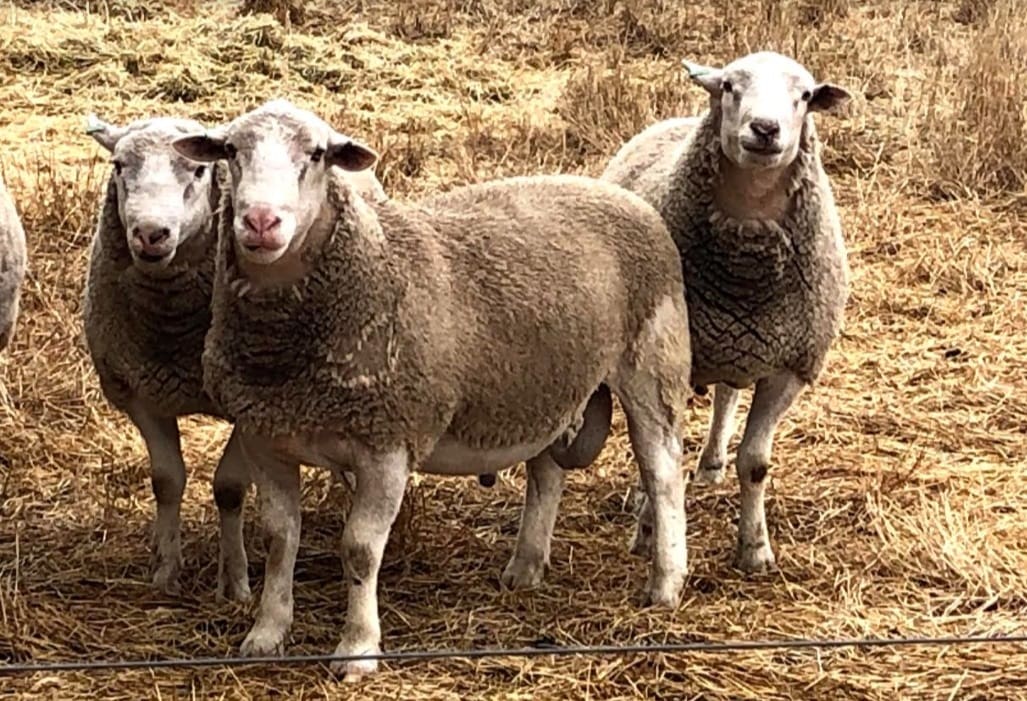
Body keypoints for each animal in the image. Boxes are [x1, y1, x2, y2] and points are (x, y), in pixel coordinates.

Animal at [172, 98, 692, 679]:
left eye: (317, 154)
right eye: (230, 151)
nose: (260, 221)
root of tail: (621, 193)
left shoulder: (388, 442)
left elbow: (359, 549)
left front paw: (357, 649)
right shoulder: (267, 436)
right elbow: (279, 539)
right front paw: (265, 634)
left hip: (652, 360)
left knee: (663, 472)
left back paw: (665, 583)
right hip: (544, 383)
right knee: (547, 474)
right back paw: (525, 567)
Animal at [602, 51, 851, 574]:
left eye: (804, 96)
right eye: (731, 87)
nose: (765, 128)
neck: (744, 282)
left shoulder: (789, 366)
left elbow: (755, 464)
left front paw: (755, 549)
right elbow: (663, 459)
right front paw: (649, 532)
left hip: (735, 345)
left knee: (725, 396)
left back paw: (713, 463)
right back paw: (643, 496)